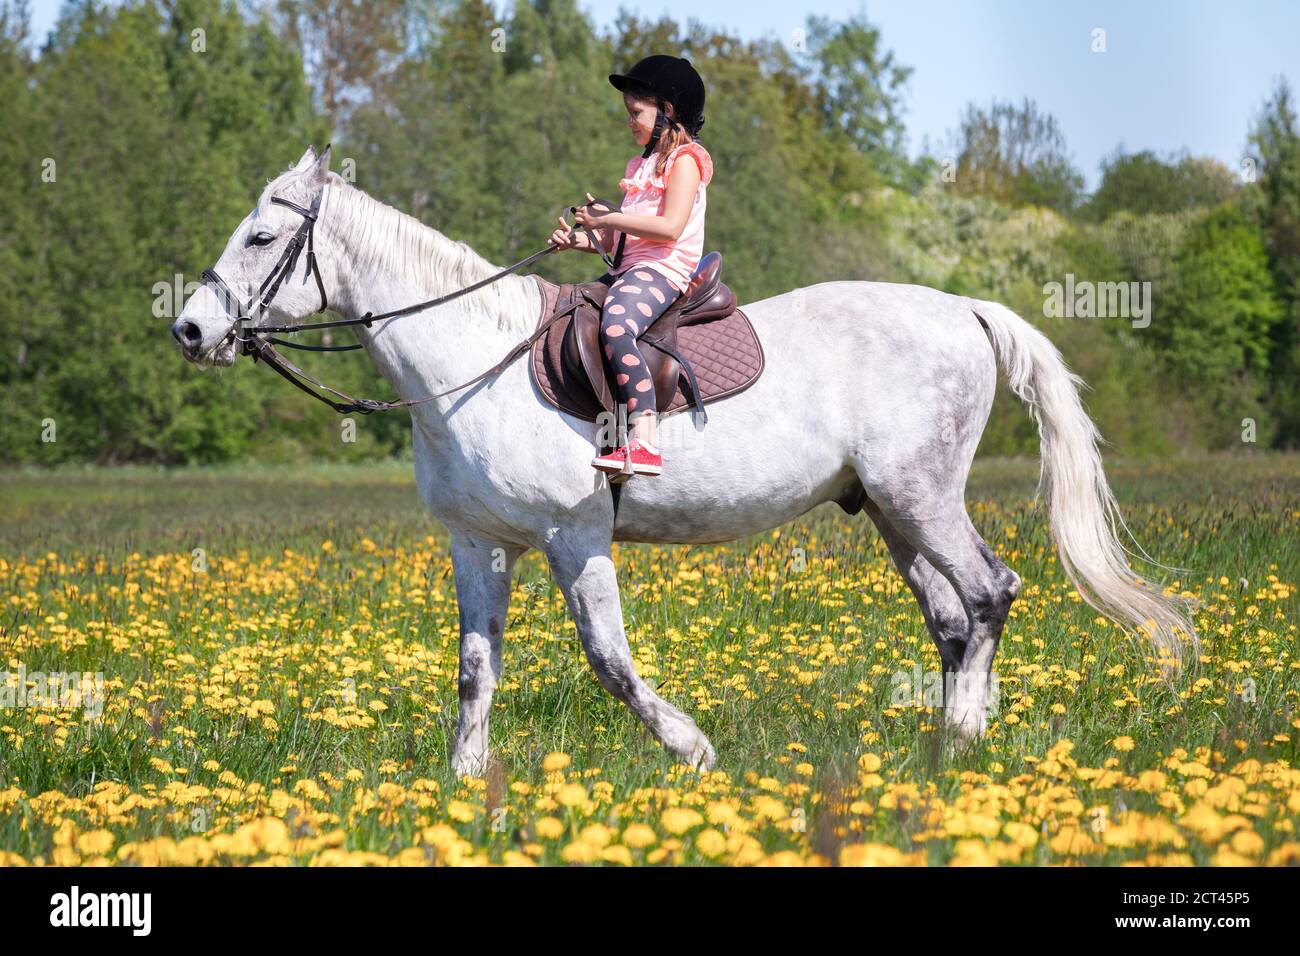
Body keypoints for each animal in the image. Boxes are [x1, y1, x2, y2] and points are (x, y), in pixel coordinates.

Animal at [171, 147, 1195, 774]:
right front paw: (462, 782)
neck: (471, 365)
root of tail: (968, 309)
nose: (190, 330)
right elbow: (474, 667)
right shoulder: (478, 543)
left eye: (263, 236)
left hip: (922, 494)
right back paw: (950, 742)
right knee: (950, 617)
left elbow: (609, 659)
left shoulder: (575, 534)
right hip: (890, 510)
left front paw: (691, 748)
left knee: (989, 593)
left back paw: (963, 743)